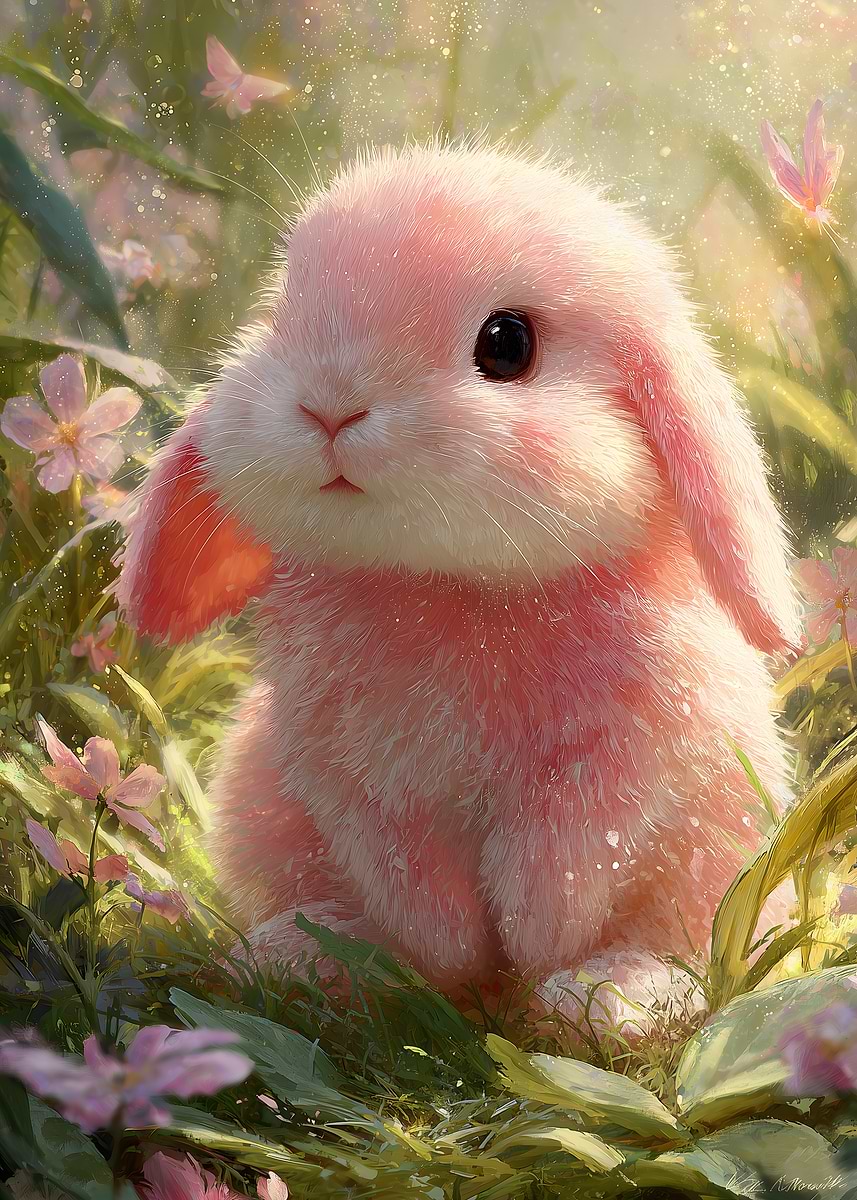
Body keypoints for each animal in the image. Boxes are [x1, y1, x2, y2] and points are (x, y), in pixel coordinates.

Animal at [118, 143, 800, 1029]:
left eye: (506, 345)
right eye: (278, 316)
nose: (329, 407)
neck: (459, 586)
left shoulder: (629, 750)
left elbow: (571, 853)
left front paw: (532, 941)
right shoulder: (341, 762)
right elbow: (402, 864)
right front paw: (454, 951)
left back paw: (610, 998)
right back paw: (308, 959)